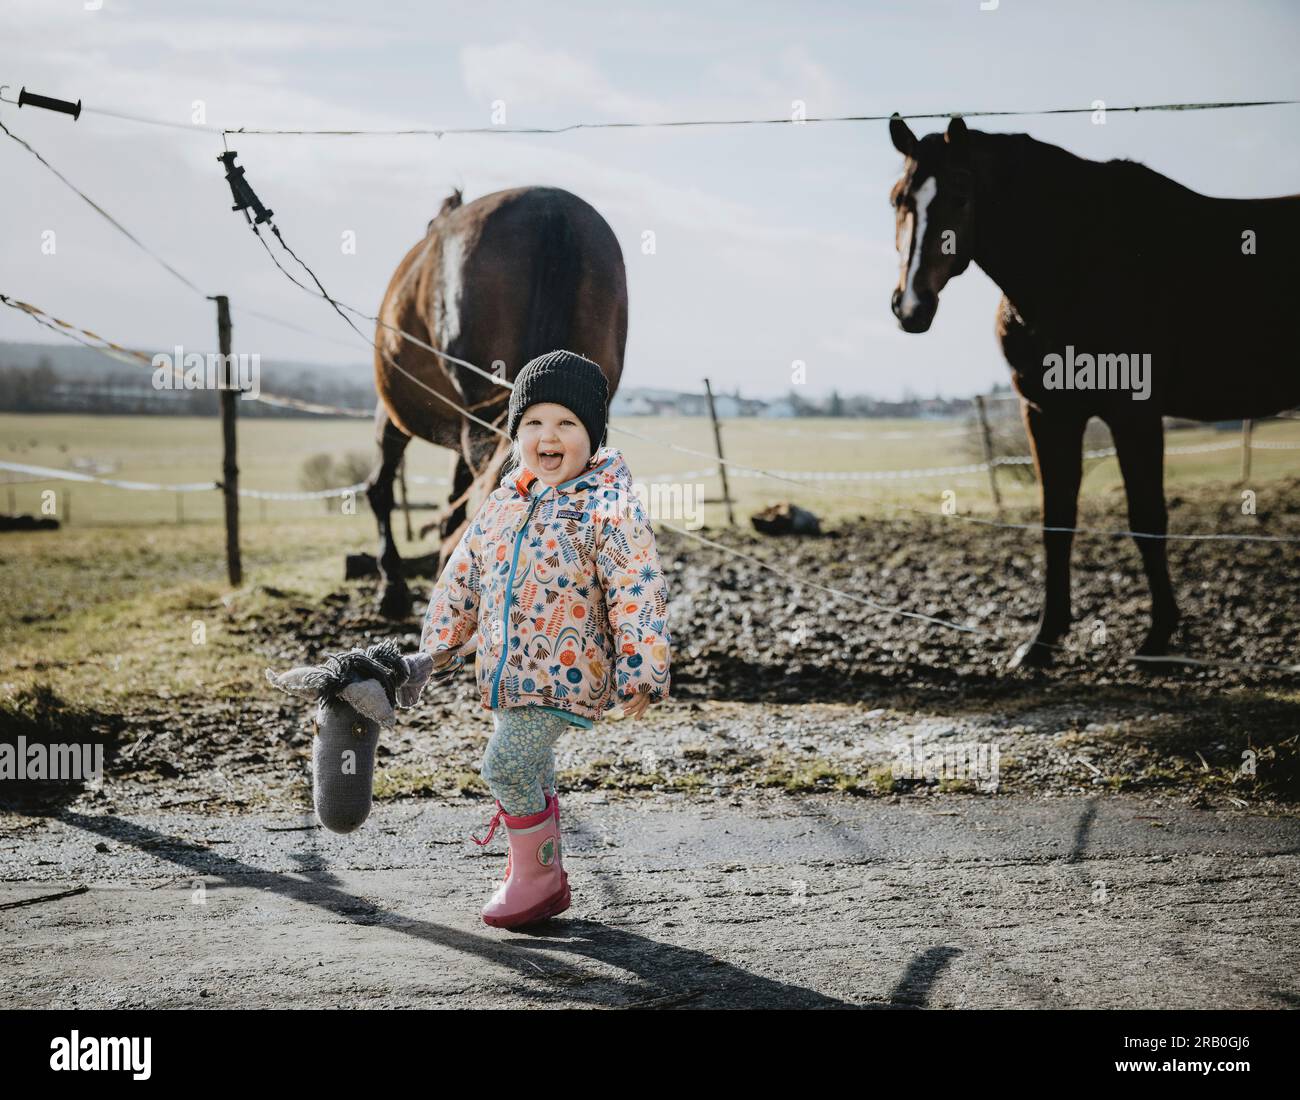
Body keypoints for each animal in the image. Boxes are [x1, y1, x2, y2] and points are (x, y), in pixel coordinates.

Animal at [887, 115, 1300, 668]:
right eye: (897, 199)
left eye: (959, 194)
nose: (911, 306)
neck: (1080, 261)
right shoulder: (1047, 414)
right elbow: (1056, 523)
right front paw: (1042, 642)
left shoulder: (1134, 414)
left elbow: (1147, 520)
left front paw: (1157, 639)